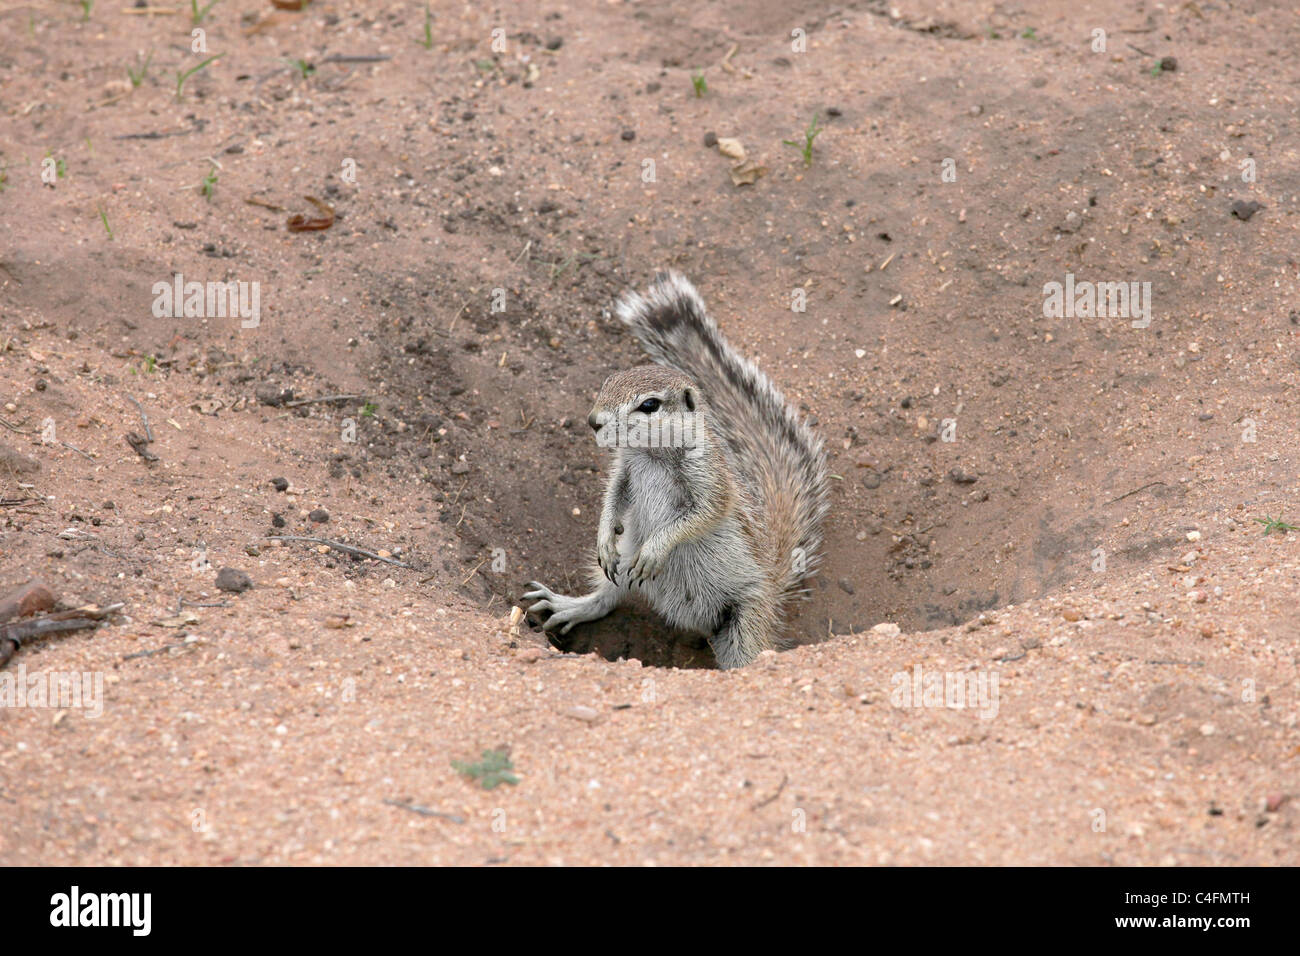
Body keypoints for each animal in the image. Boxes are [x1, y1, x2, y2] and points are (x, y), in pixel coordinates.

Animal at [523, 272, 828, 669]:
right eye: (608, 382)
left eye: (649, 405)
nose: (593, 421)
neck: (654, 454)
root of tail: (773, 576)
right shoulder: (625, 468)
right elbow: (613, 497)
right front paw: (603, 537)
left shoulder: (709, 476)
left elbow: (703, 513)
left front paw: (657, 548)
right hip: (623, 569)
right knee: (606, 597)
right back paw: (569, 605)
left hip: (746, 617)